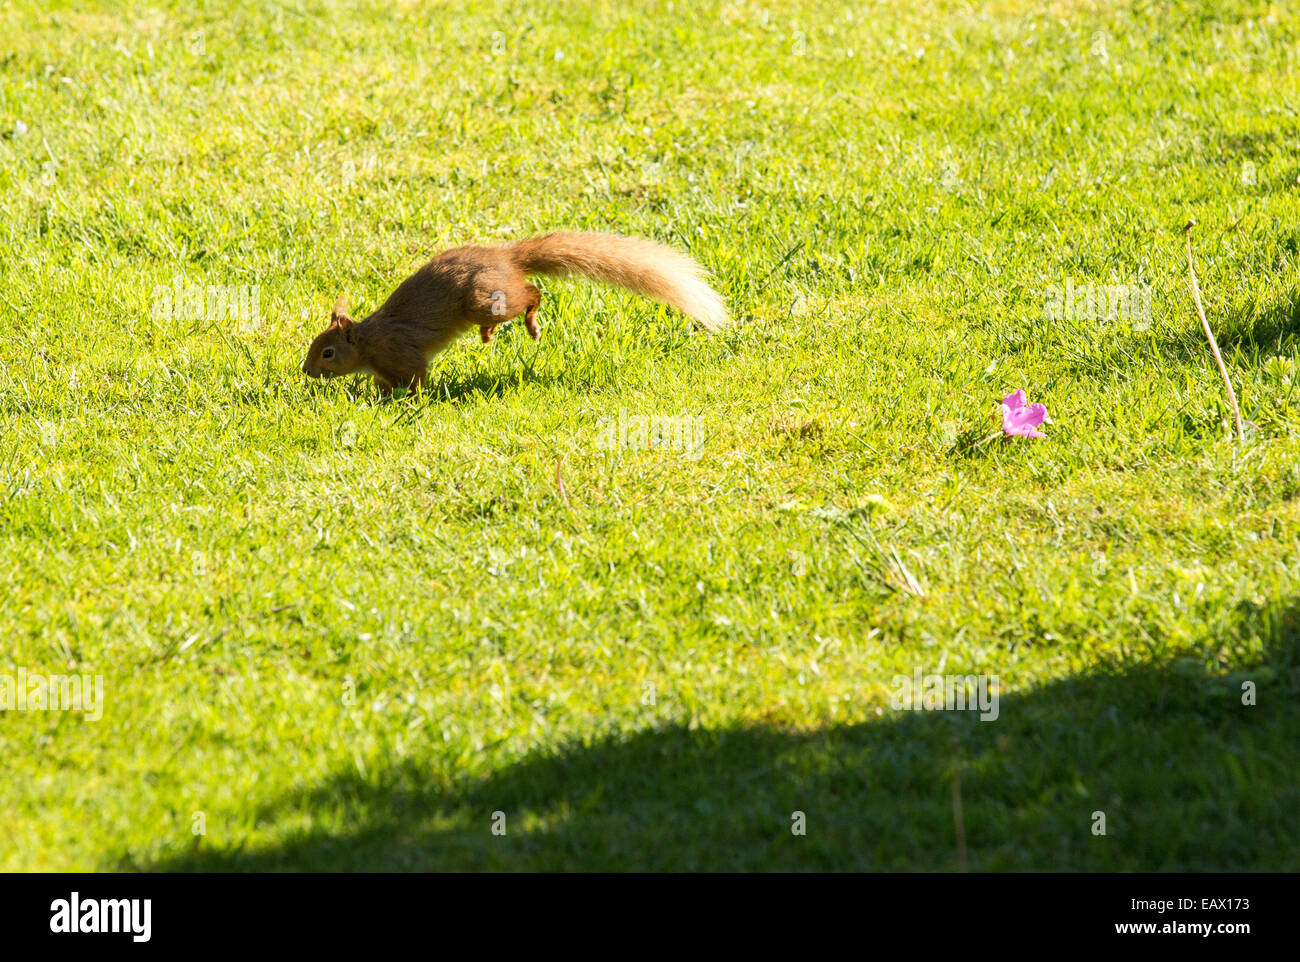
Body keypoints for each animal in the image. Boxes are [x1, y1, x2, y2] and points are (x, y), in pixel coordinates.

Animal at [301, 231, 729, 393]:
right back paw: (489, 335)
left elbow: (416, 378)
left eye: (328, 352)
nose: (305, 370)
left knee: (531, 292)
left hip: (481, 301)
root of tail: (506, 258)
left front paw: (405, 399)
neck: (369, 343)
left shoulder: (400, 353)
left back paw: (531, 323)